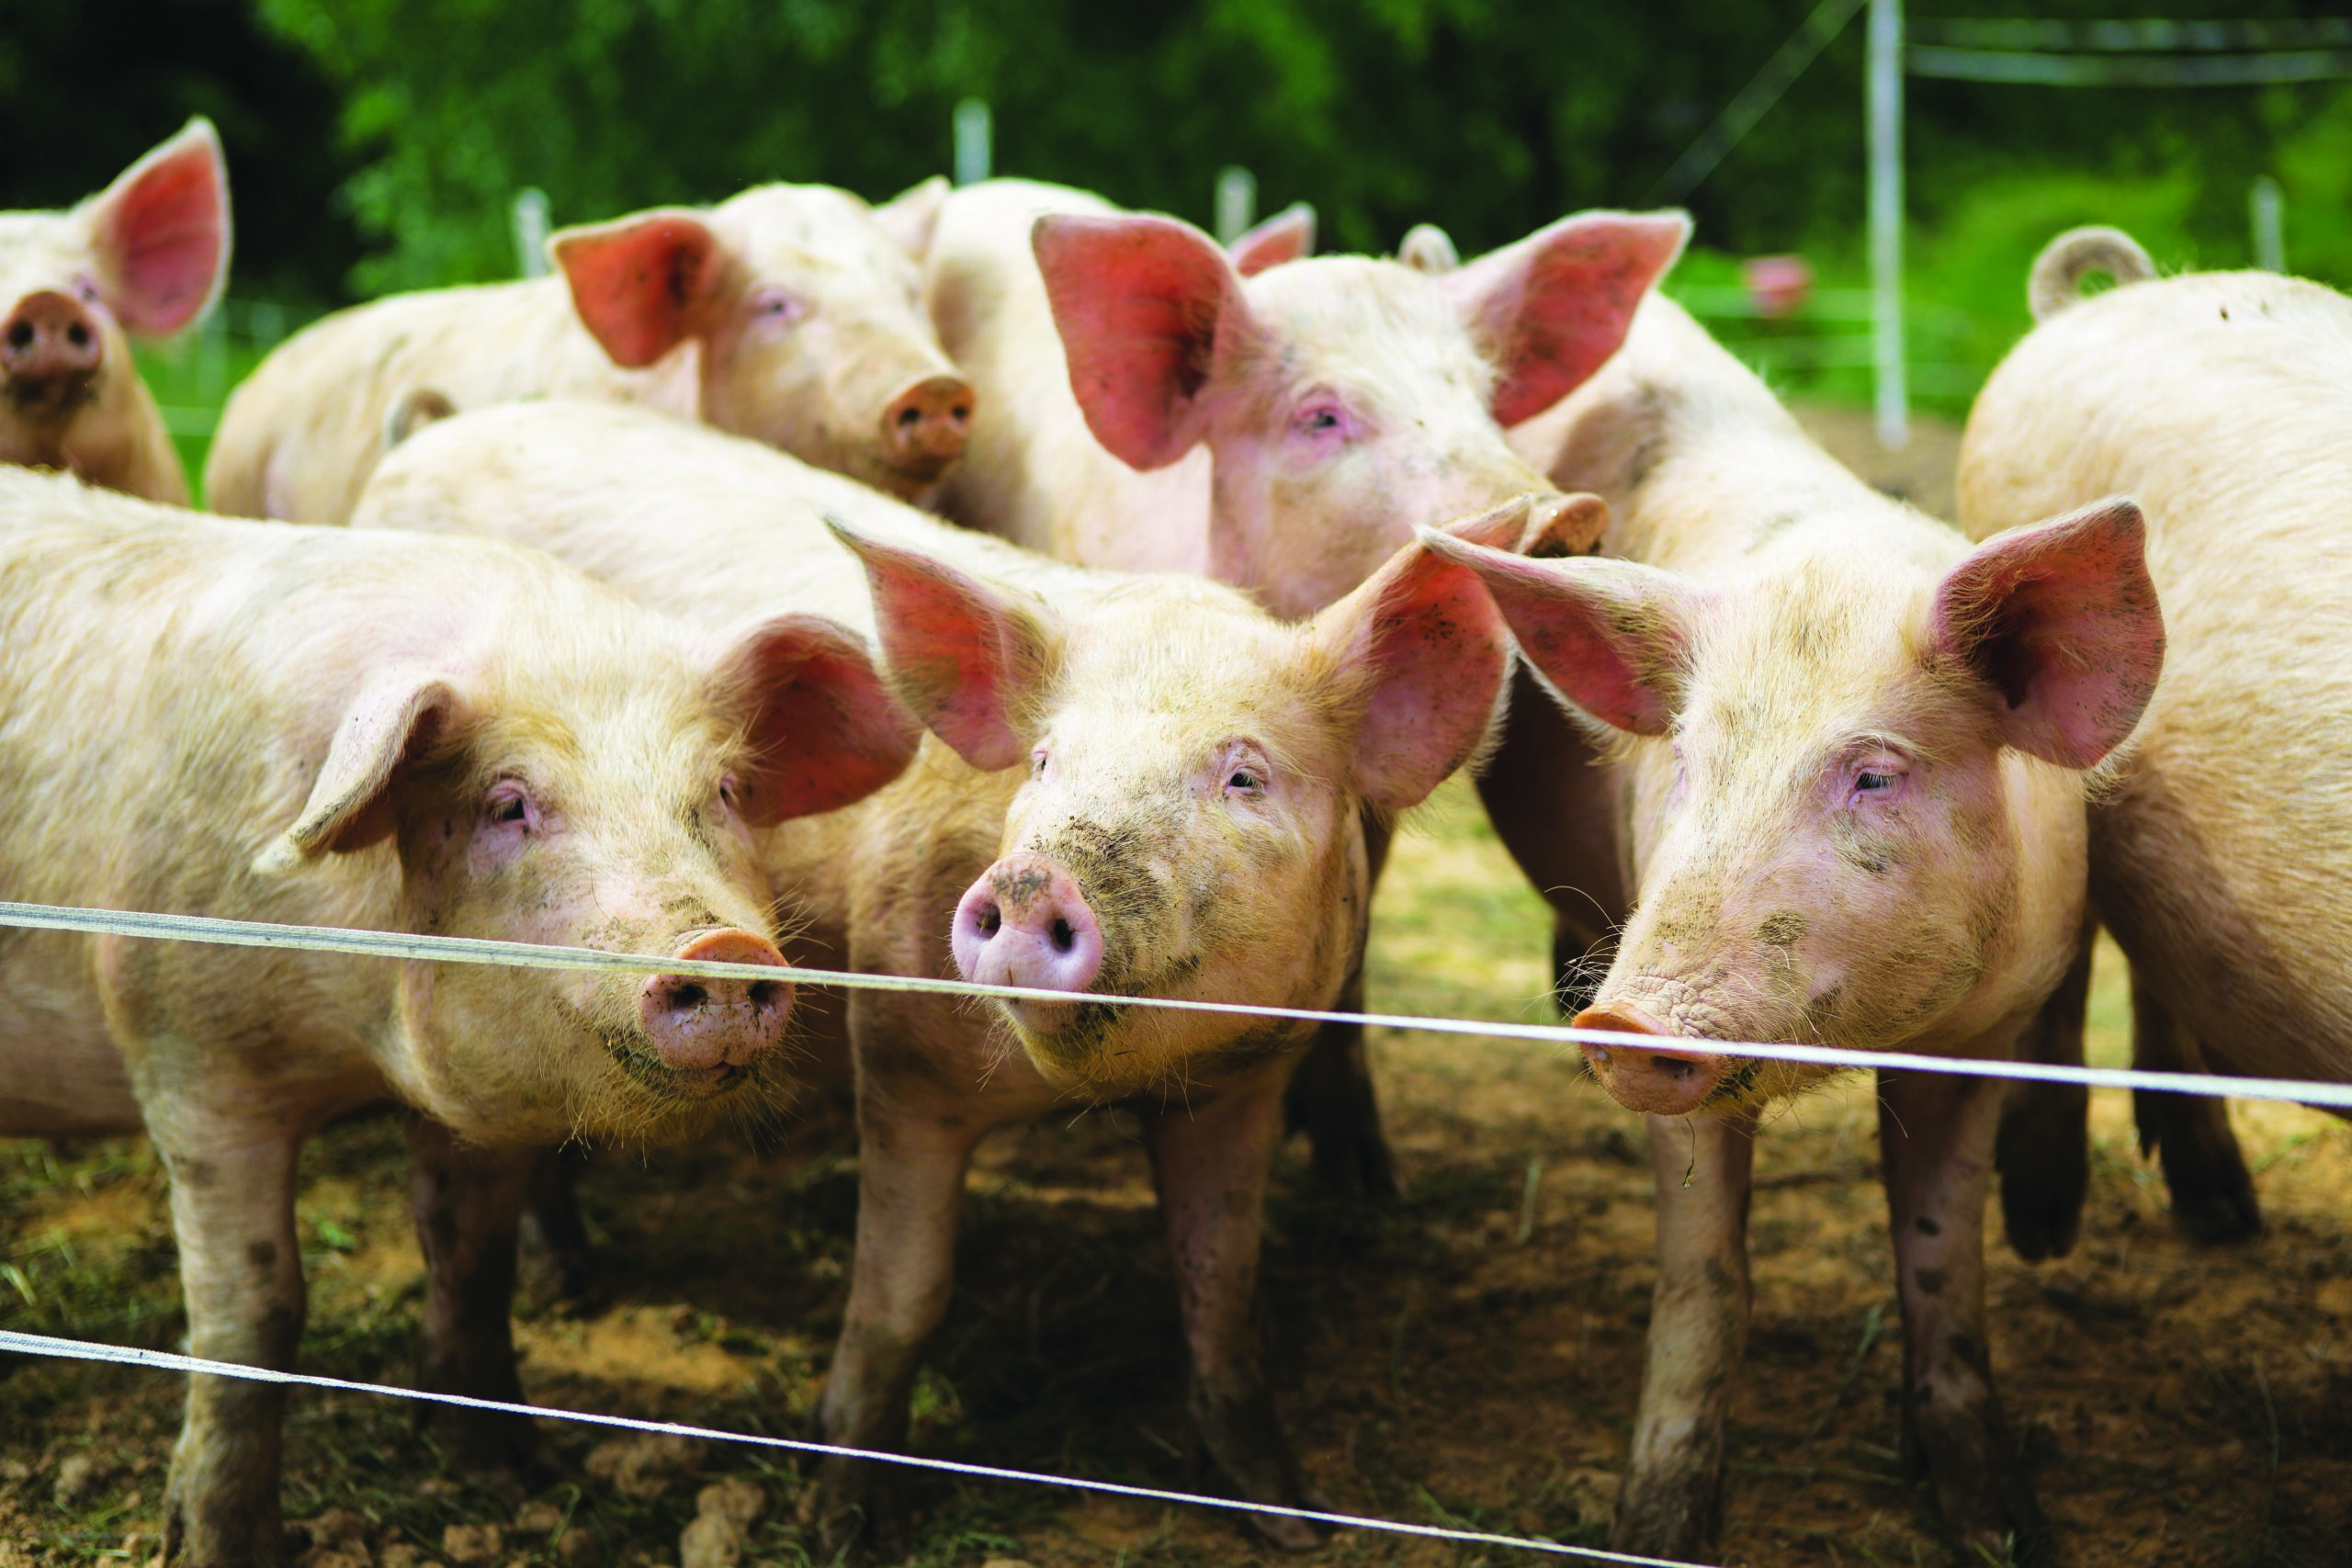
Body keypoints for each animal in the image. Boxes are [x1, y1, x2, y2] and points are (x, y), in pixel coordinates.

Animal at [0, 464, 921, 1565]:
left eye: (730, 790)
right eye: (508, 802)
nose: (725, 950)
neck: (363, 1039)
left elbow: (474, 1258)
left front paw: (508, 1467)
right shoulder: (186, 1045)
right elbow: (254, 1314)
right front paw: (225, 1544)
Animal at [352, 397, 1535, 1553]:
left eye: (1244, 775)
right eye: (1046, 761)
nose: (1028, 881)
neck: (1085, 1085)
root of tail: (434, 435)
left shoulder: (1248, 1074)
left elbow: (1220, 1289)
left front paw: (1290, 1520)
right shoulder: (899, 1059)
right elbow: (903, 1295)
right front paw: (844, 1525)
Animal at [1456, 293, 2164, 1561]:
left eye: (1874, 775)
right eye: (1687, 761)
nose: (1626, 1022)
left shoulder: (1984, 1038)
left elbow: (1940, 1256)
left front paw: (1997, 1524)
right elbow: (1706, 1277)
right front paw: (1656, 1532)